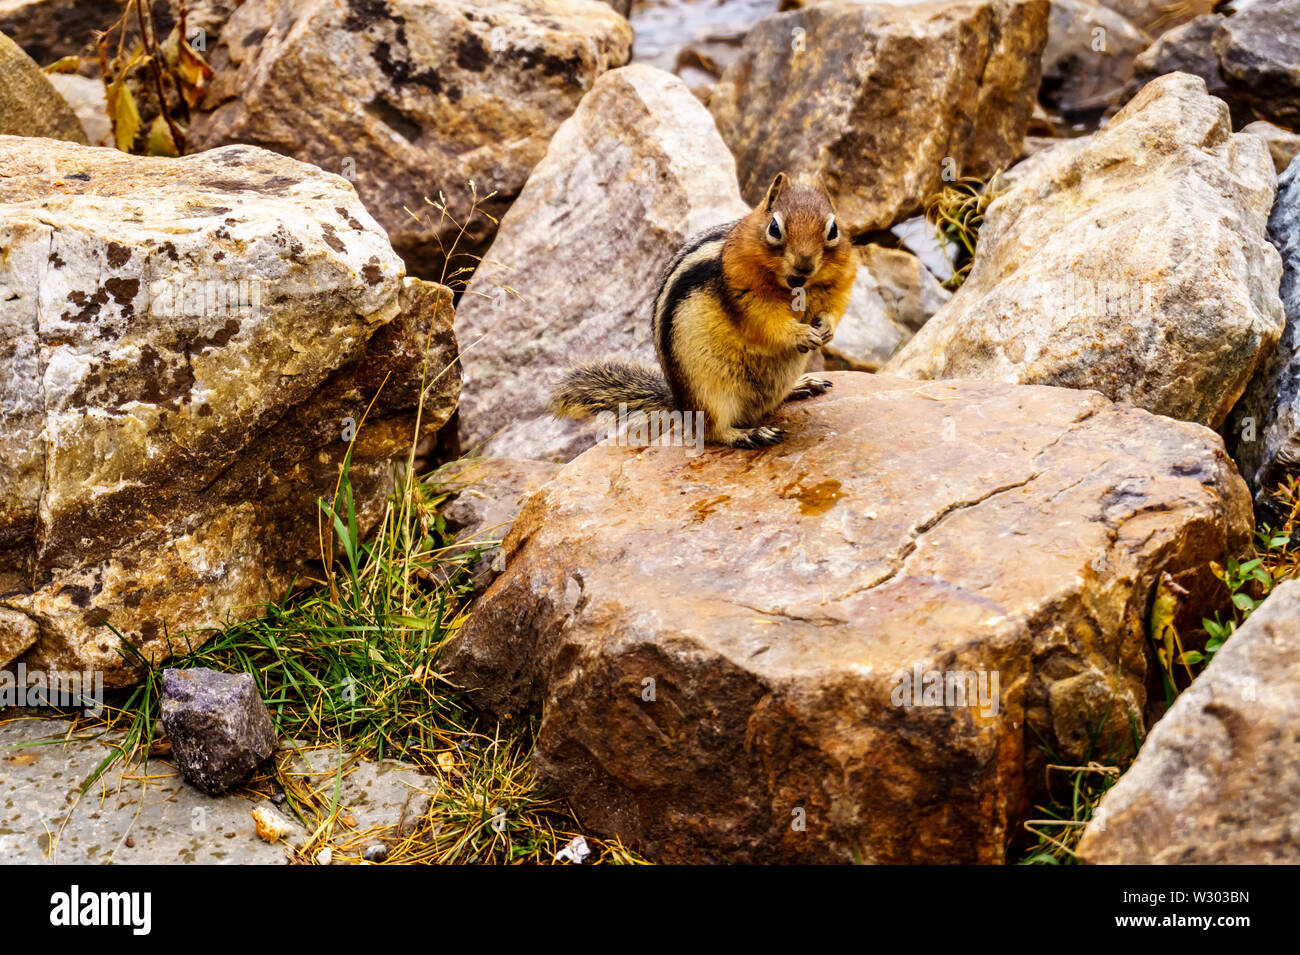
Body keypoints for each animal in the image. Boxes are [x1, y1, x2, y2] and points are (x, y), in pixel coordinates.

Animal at [550, 172, 856, 448]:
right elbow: (767, 323)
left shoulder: (840, 284)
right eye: (774, 228)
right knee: (712, 431)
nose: (804, 265)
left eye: (833, 230)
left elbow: (835, 307)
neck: (796, 286)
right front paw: (802, 334)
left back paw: (801, 385)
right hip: (711, 394)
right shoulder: (743, 295)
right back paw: (748, 434)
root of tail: (679, 403)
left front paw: (825, 329)